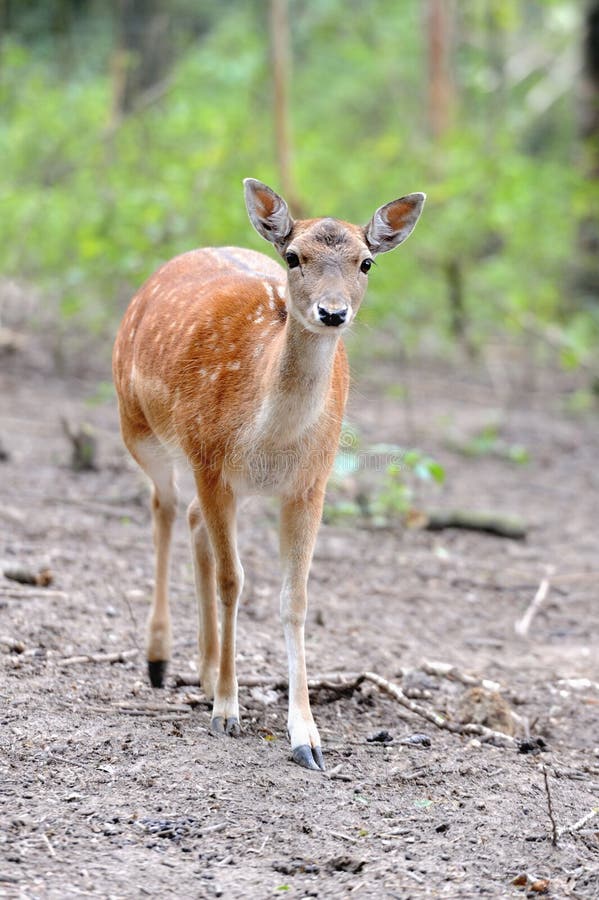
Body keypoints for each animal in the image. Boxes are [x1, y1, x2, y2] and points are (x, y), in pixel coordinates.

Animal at [112, 179, 425, 770]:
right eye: (294, 257)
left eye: (366, 261)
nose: (332, 311)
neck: (269, 437)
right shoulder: (211, 461)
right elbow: (234, 581)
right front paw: (227, 712)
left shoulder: (309, 483)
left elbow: (294, 597)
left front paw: (307, 737)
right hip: (138, 425)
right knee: (164, 507)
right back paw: (160, 662)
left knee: (191, 518)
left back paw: (206, 670)